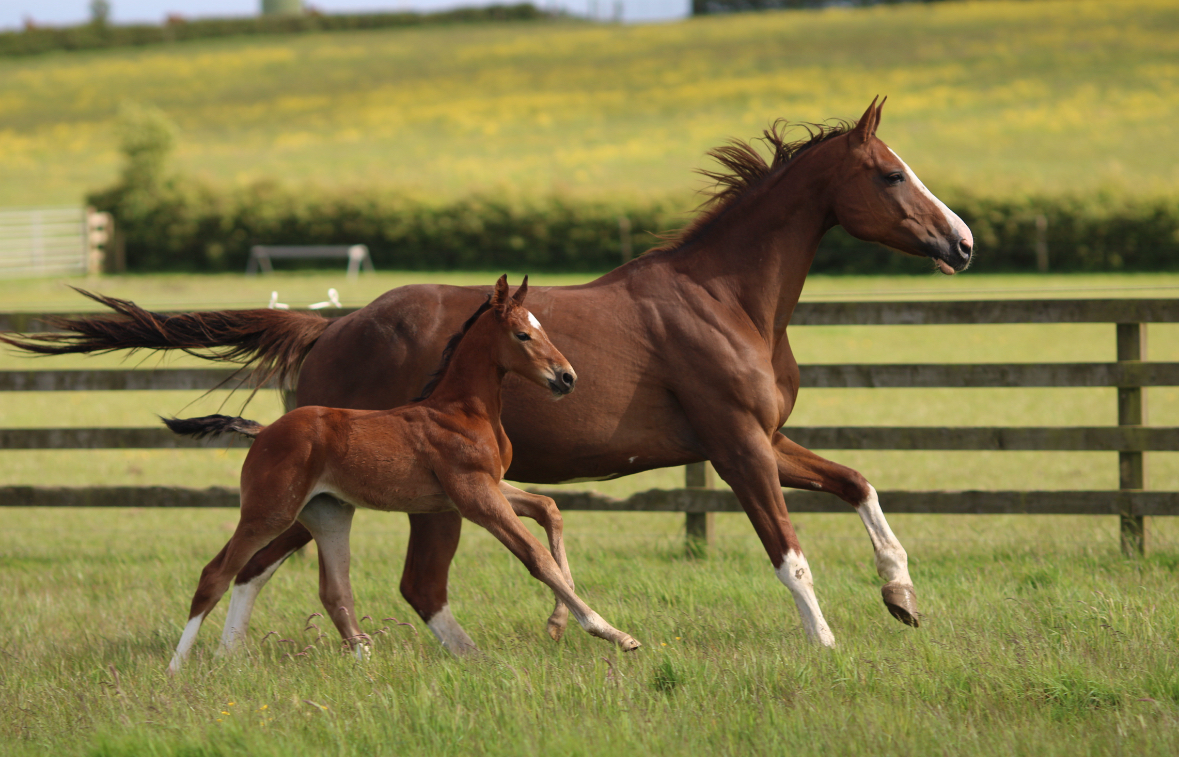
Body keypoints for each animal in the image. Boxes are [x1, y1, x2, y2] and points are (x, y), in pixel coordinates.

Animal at [160, 276, 640, 674]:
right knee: (216, 573)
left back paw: (360, 659)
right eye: (523, 334)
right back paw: (177, 668)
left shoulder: (487, 485)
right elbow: (536, 556)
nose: (567, 377)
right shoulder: (474, 495)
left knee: (334, 591)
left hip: (329, 513)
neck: (463, 410)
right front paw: (611, 632)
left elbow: (548, 508)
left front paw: (559, 620)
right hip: (269, 512)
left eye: (545, 330)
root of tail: (263, 431)